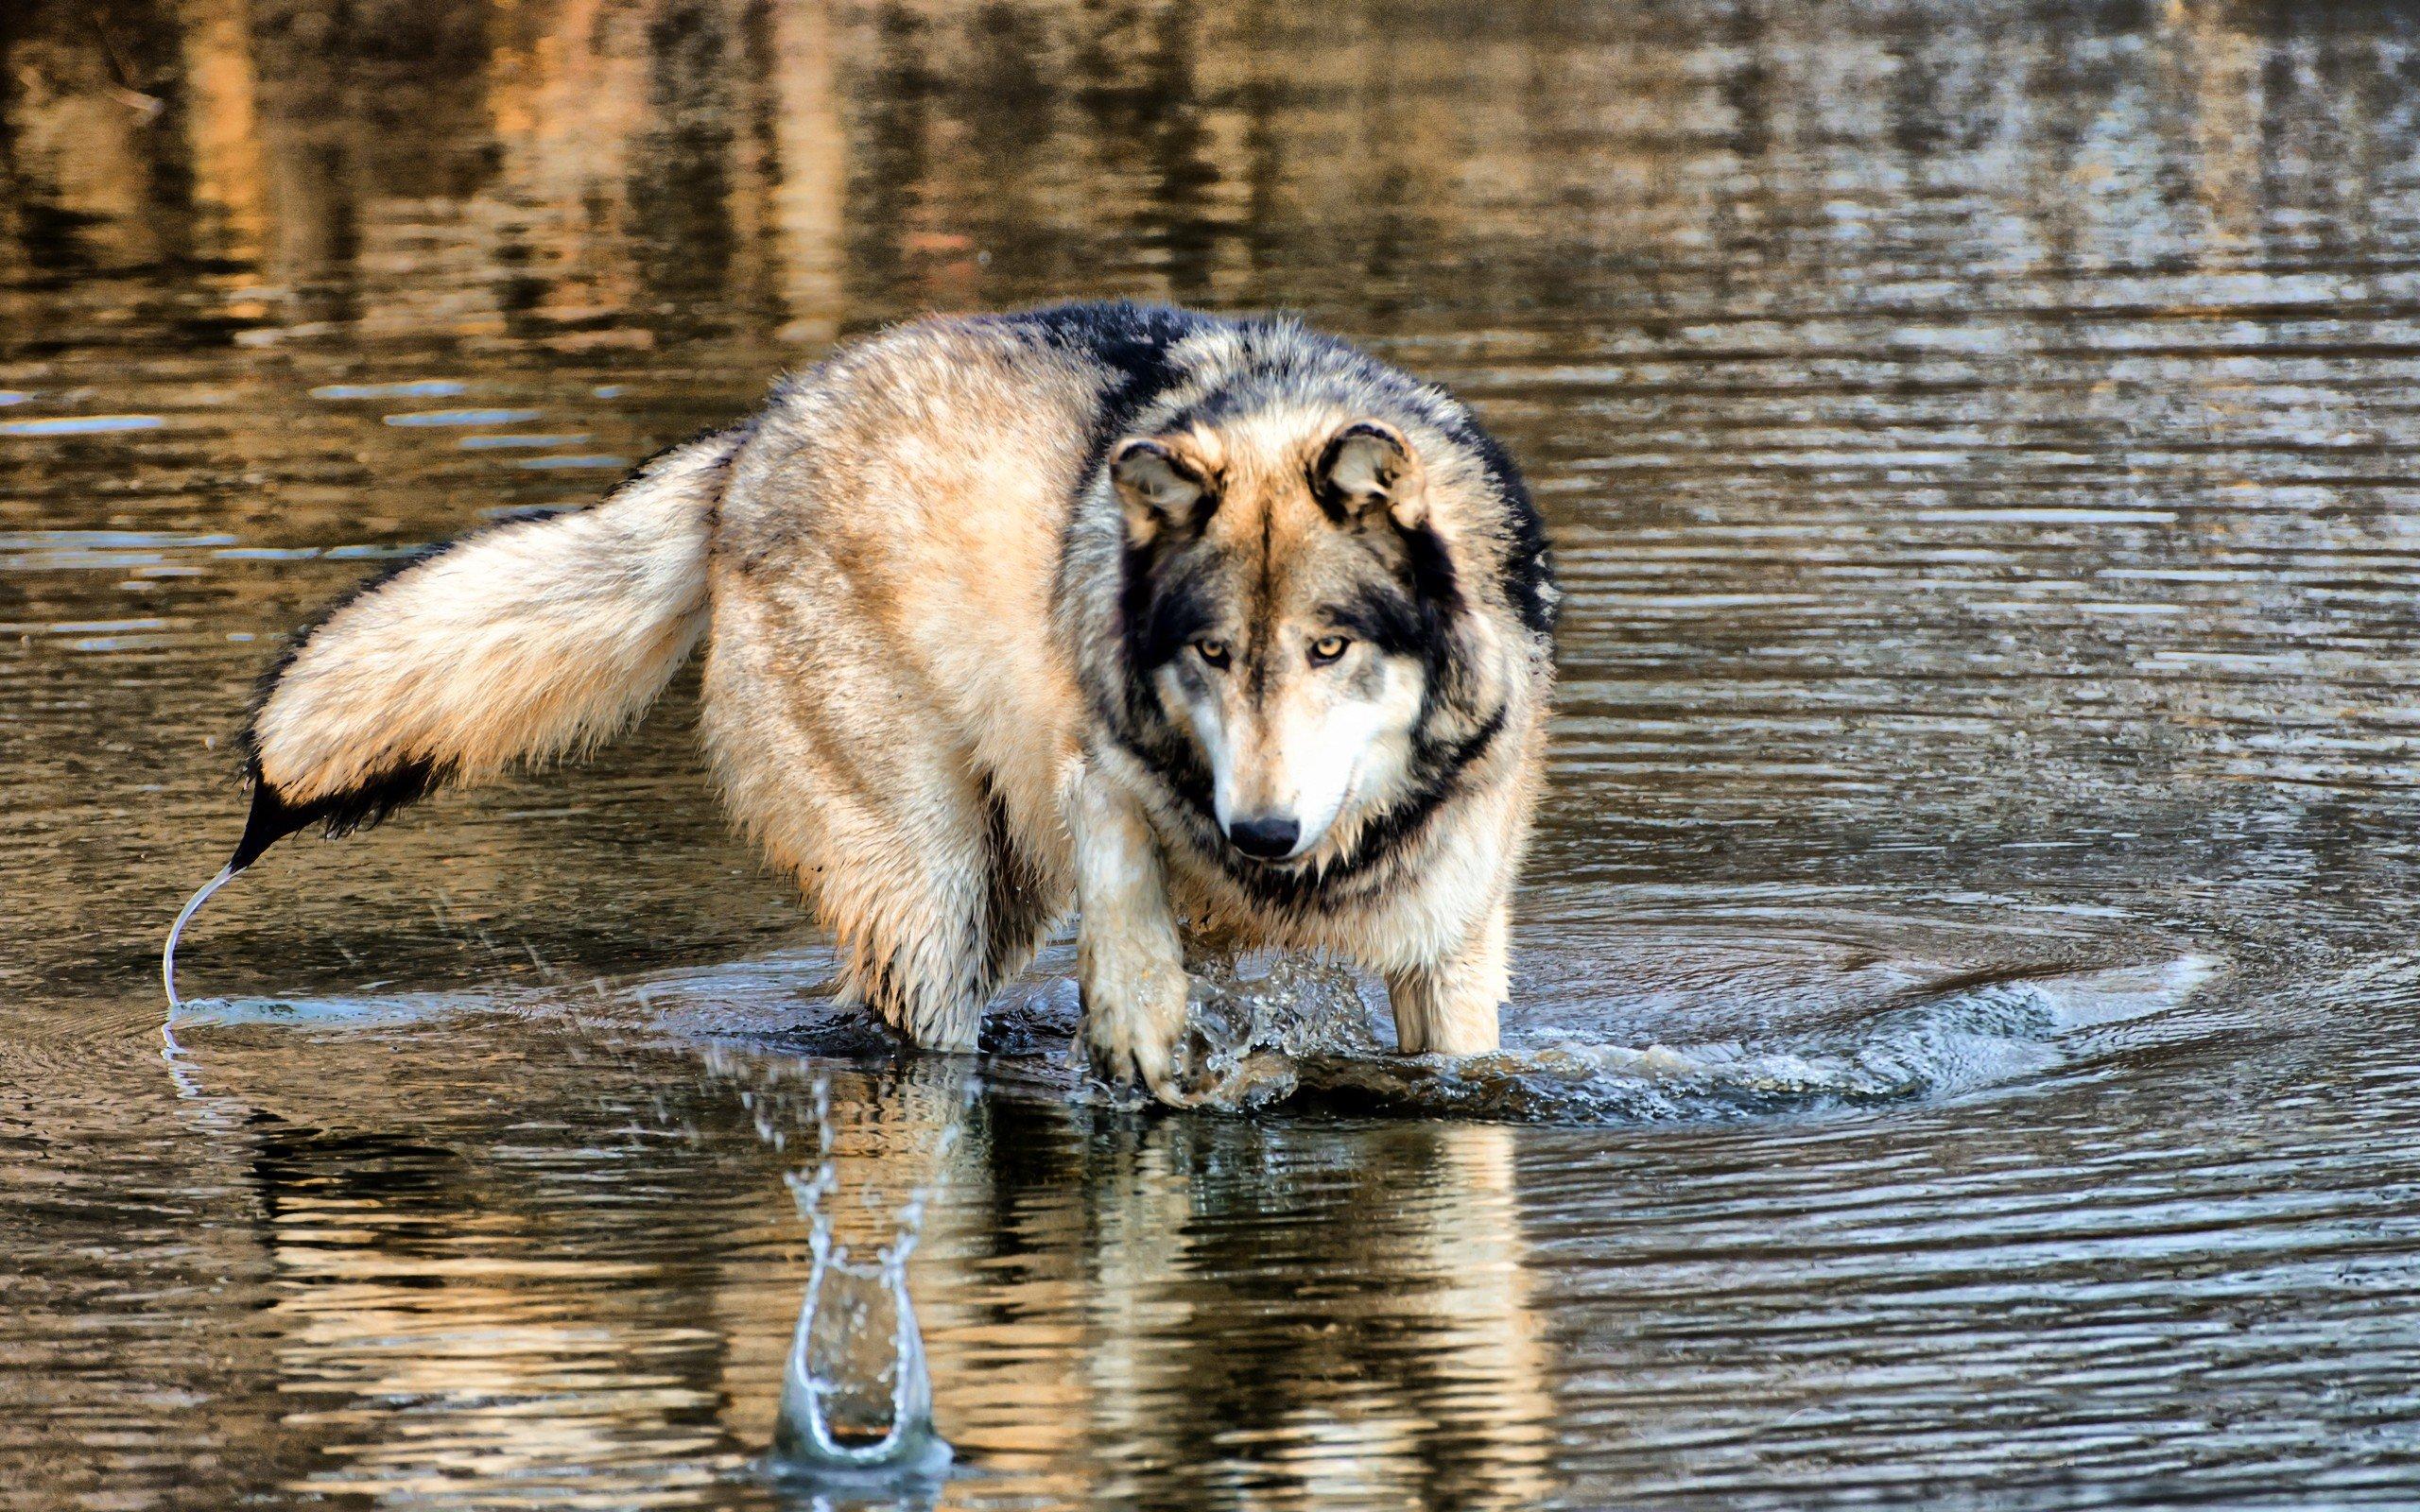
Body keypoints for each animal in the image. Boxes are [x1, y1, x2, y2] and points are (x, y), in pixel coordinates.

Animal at [205, 302, 1557, 1102]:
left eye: (1328, 647)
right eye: (1215, 654)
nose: (1260, 832)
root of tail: (752, 435)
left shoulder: (1451, 948)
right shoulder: (1093, 750)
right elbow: (1124, 867)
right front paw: (1137, 1023)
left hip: (987, 895)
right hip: (936, 887)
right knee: (921, 1029)